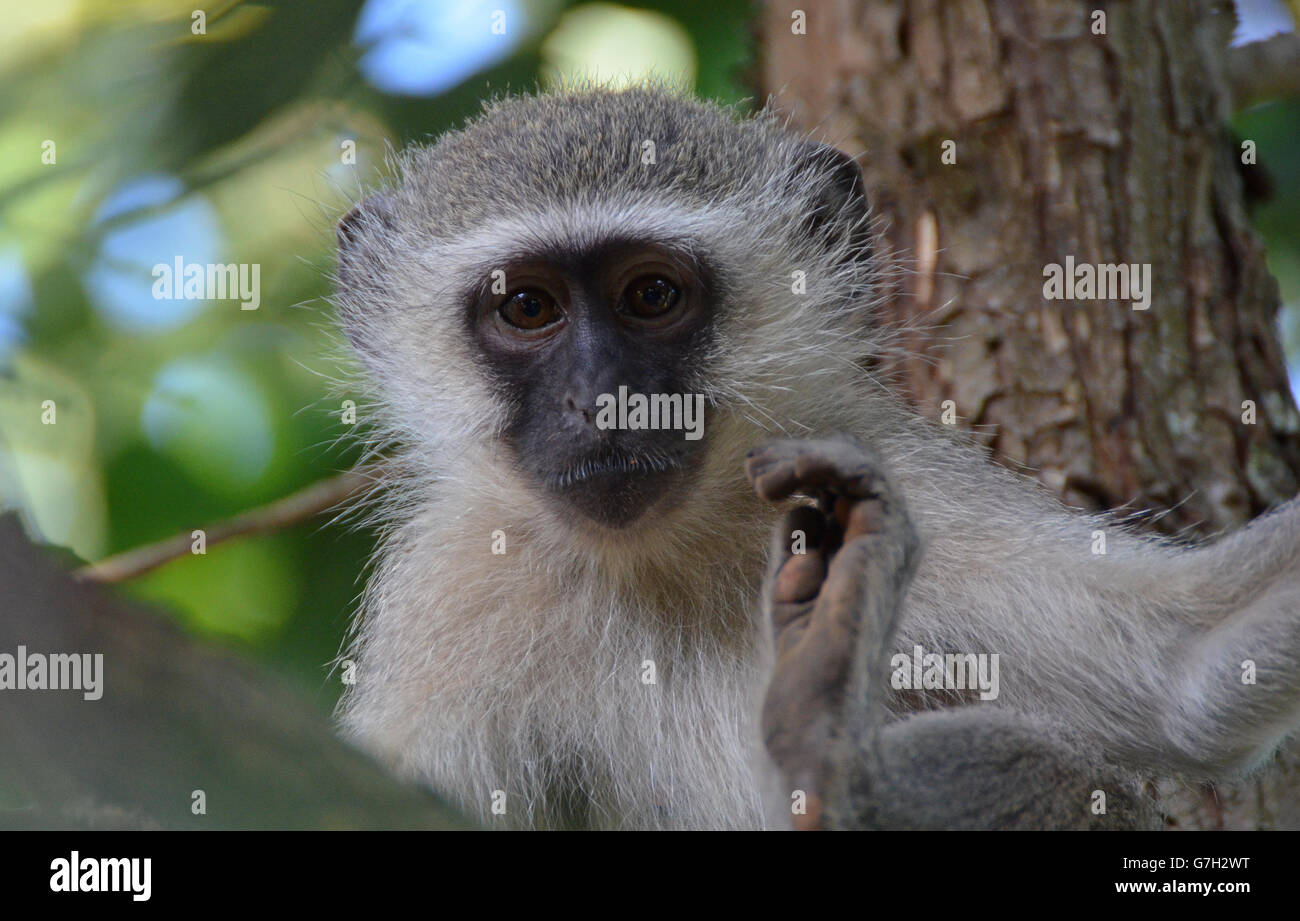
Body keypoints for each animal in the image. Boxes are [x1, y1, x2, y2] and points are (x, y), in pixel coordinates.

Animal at [331, 85, 1300, 830]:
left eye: (652, 294)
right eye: (528, 307)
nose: (600, 397)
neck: (663, 559)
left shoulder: (898, 476)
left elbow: (1190, 671)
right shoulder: (455, 593)